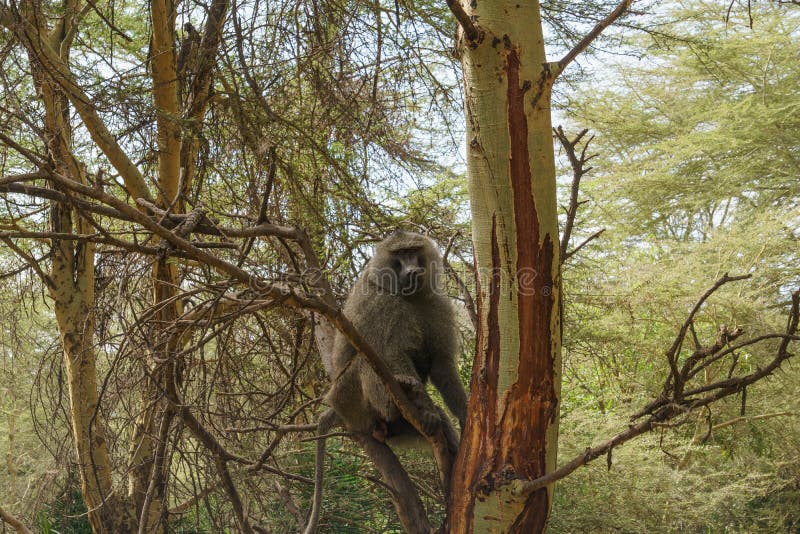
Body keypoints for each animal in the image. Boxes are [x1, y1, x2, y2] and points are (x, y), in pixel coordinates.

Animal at [303, 230, 467, 534]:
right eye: (400, 255)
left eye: (414, 251)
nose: (413, 270)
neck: (410, 298)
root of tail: (334, 403)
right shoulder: (384, 306)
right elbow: (392, 354)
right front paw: (424, 404)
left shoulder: (436, 304)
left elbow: (441, 366)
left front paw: (465, 412)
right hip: (349, 398)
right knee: (368, 361)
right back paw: (403, 398)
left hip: (396, 428)